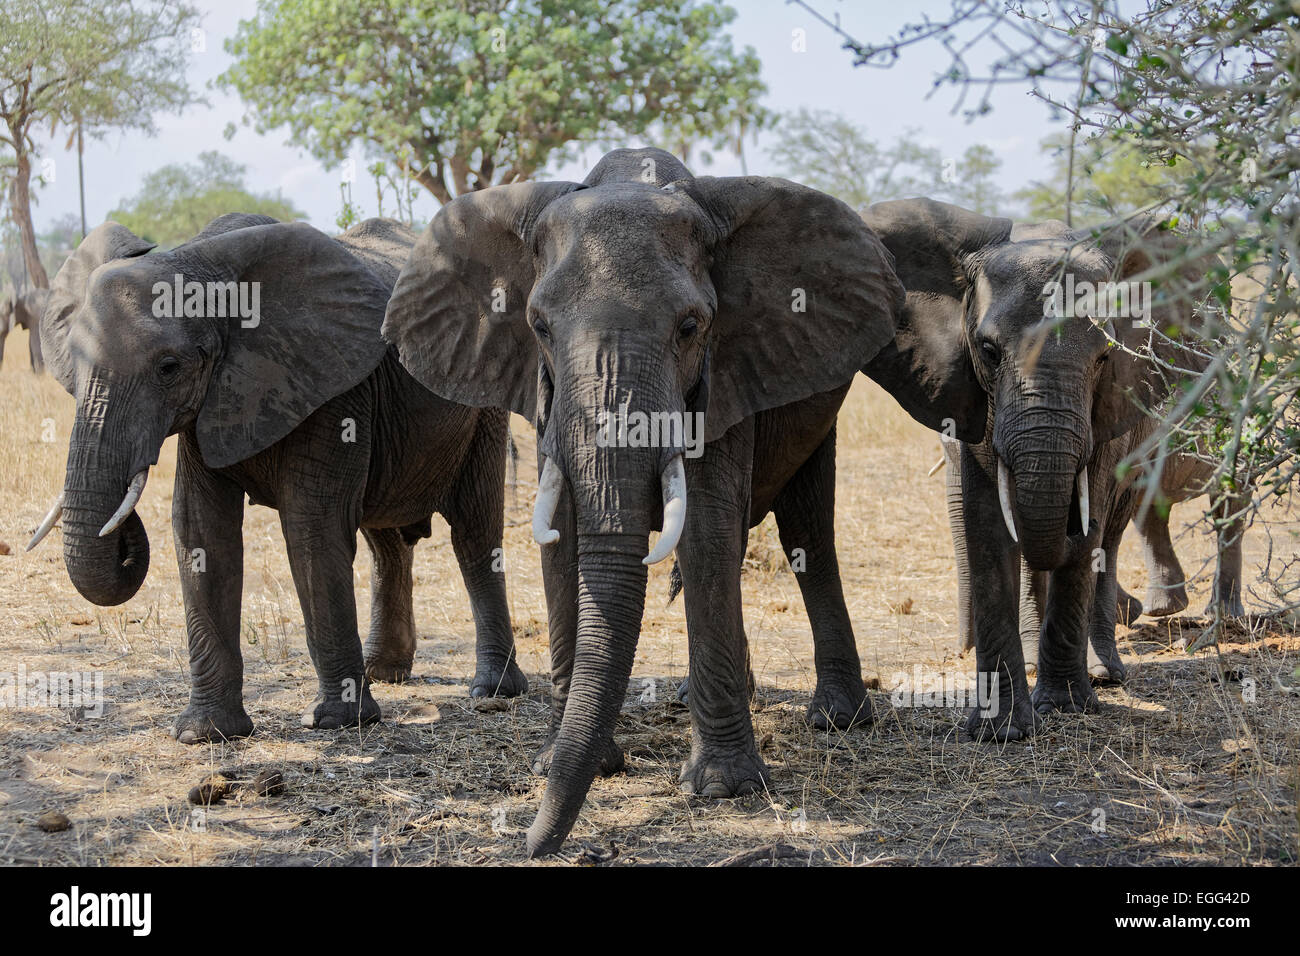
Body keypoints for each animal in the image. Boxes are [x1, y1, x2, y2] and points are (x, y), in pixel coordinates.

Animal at [29, 213, 526, 743]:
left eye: (168, 368)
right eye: (74, 364)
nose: (122, 531)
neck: (198, 260)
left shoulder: (333, 390)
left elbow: (312, 527)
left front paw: (336, 723)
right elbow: (202, 532)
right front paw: (205, 734)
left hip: (483, 396)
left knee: (474, 532)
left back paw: (493, 690)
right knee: (386, 543)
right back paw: (384, 672)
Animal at [383, 147, 916, 856]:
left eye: (690, 327)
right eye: (538, 327)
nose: (531, 844)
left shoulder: (727, 367)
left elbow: (707, 526)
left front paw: (722, 789)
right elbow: (565, 532)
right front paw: (562, 764)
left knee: (807, 532)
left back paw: (837, 718)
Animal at [862, 198, 1212, 740]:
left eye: (1107, 355)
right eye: (987, 351)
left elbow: (1089, 521)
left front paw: (1066, 707)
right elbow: (988, 523)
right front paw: (1000, 730)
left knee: (1111, 534)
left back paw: (1104, 672)